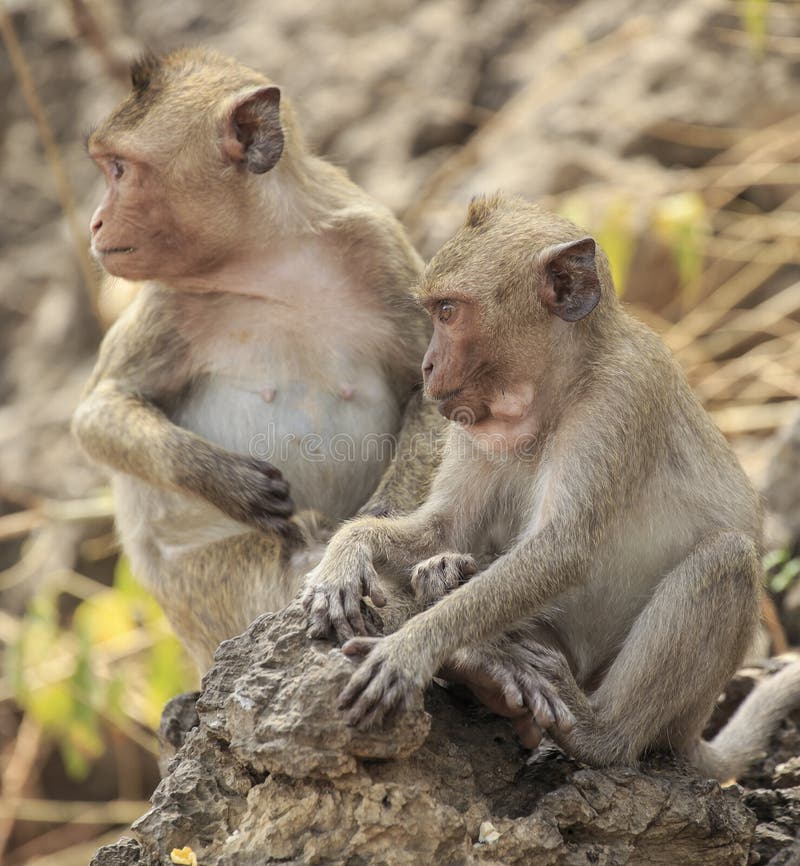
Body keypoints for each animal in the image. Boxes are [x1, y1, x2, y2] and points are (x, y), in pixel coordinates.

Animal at [72, 48, 445, 671]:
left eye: (120, 169)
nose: (95, 223)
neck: (269, 256)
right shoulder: (169, 298)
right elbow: (100, 410)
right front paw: (228, 482)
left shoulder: (377, 242)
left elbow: (441, 397)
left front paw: (359, 549)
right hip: (212, 593)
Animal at [302, 192, 800, 780]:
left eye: (448, 311)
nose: (427, 365)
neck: (557, 385)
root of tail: (693, 730)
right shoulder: (470, 420)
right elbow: (442, 529)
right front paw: (344, 559)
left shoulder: (620, 396)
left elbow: (563, 548)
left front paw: (412, 647)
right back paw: (480, 650)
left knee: (727, 559)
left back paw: (597, 731)